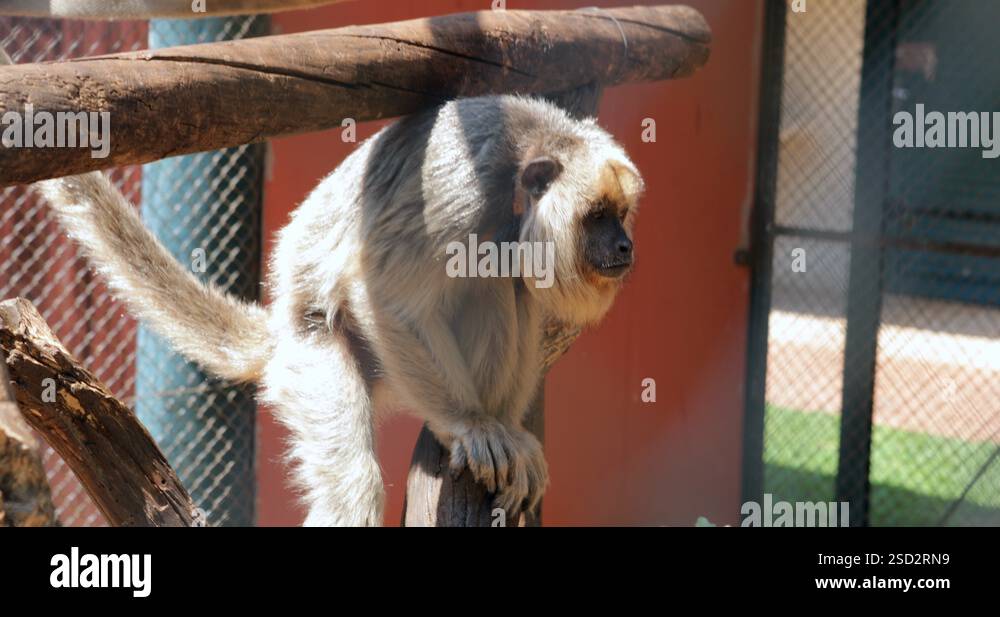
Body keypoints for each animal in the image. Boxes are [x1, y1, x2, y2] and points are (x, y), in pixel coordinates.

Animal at [35, 94, 644, 526]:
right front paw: (470, 425)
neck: (525, 149)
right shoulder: (457, 188)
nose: (624, 247)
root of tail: (281, 327)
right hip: (310, 357)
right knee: (353, 479)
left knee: (500, 282)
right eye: (596, 215)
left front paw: (506, 432)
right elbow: (387, 297)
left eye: (621, 215)